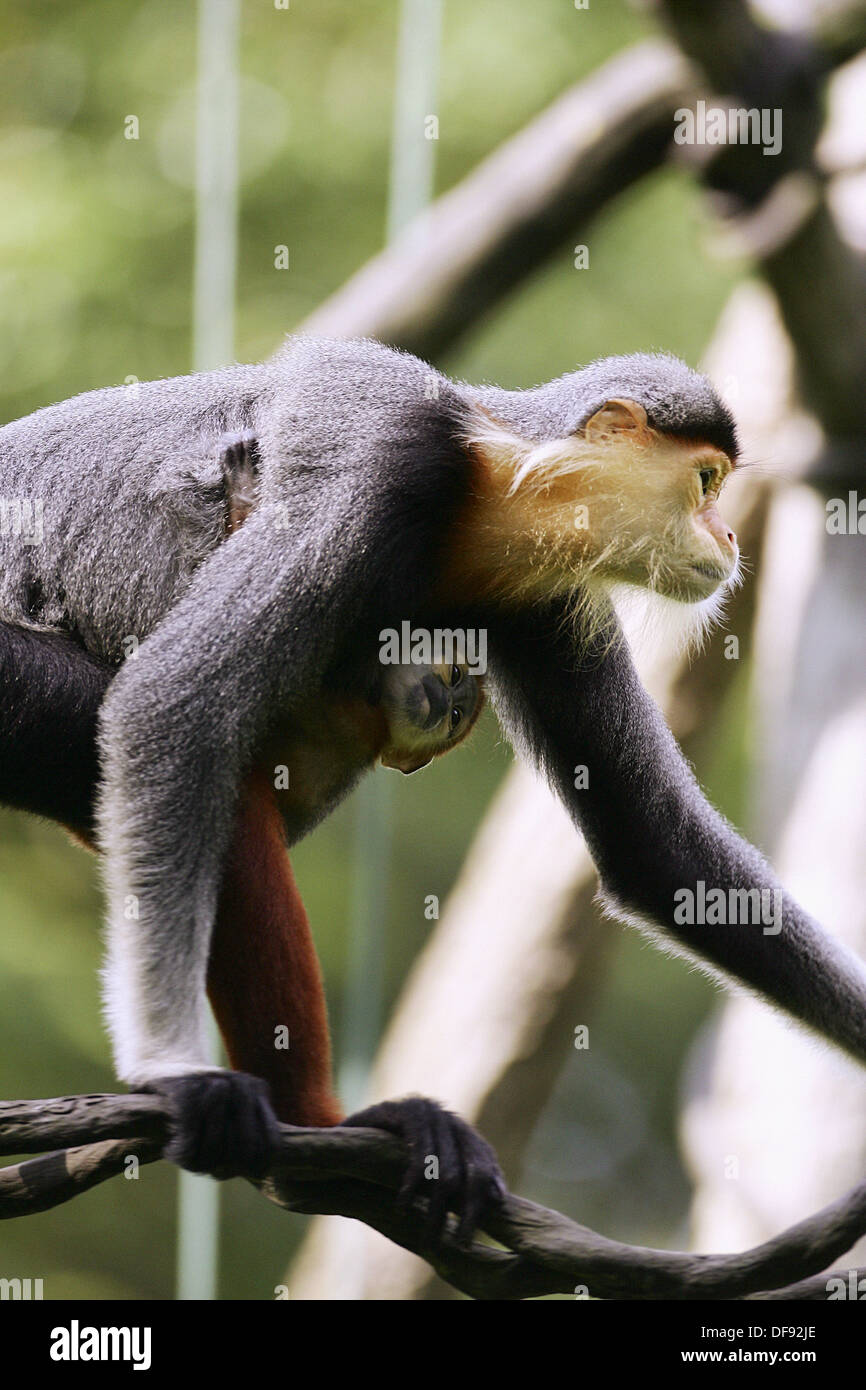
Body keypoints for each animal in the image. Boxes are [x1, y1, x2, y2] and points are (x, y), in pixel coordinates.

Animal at [3, 337, 866, 1237]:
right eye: (706, 482)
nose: (727, 532)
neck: (488, 478)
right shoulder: (377, 454)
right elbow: (170, 700)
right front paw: (175, 1071)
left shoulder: (543, 598)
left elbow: (655, 848)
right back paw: (320, 1128)